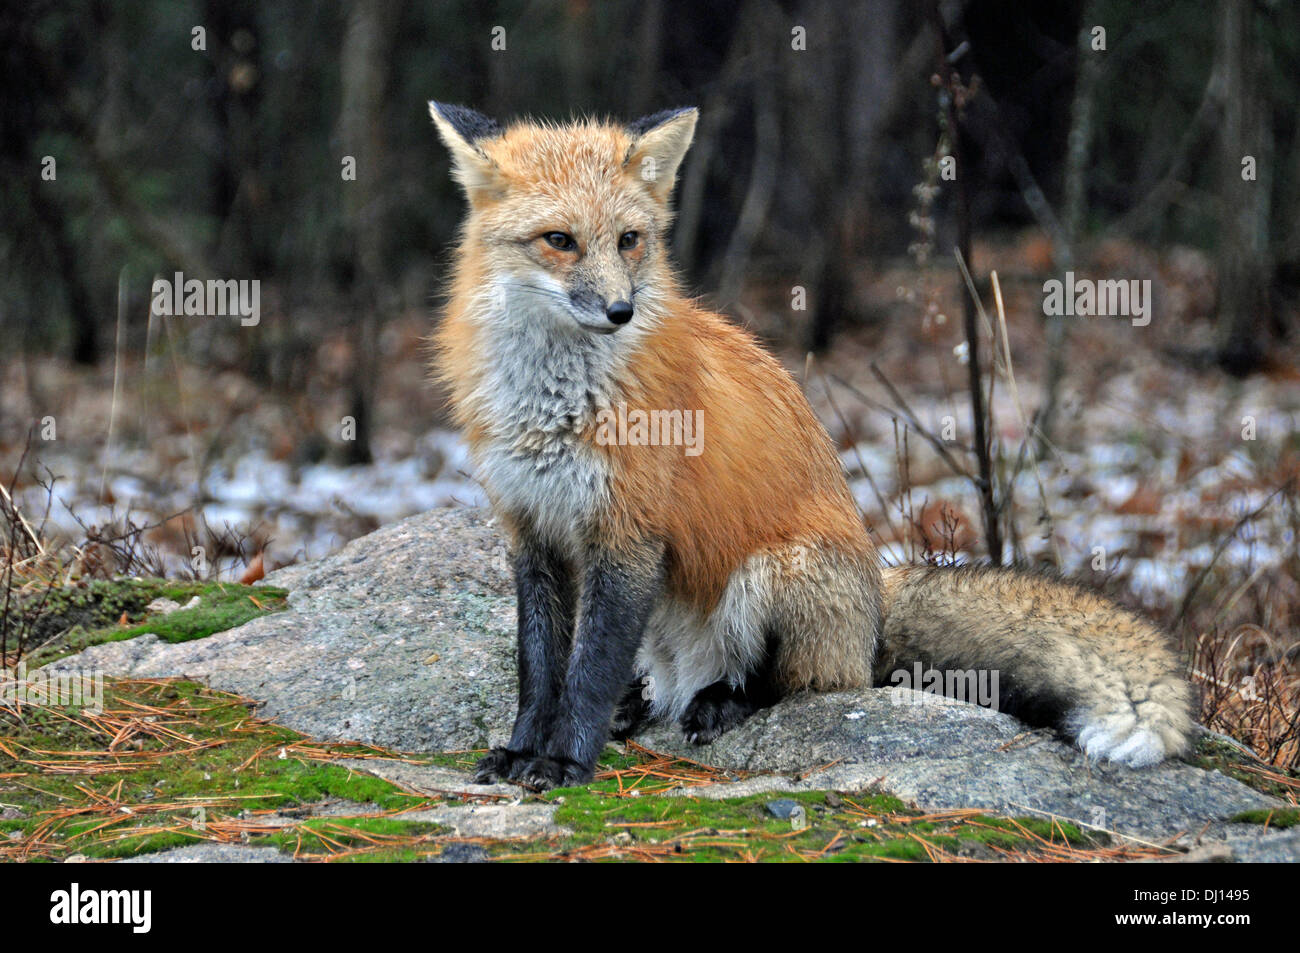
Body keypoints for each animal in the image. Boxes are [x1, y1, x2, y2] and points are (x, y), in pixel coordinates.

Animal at [427, 102, 1195, 790]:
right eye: (559, 239)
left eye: (629, 239)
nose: (621, 310)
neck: (552, 402)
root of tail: (875, 607)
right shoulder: (532, 530)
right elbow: (539, 670)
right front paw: (521, 750)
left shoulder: (627, 536)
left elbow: (587, 672)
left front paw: (564, 763)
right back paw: (639, 705)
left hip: (773, 572)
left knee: (796, 682)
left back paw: (719, 702)